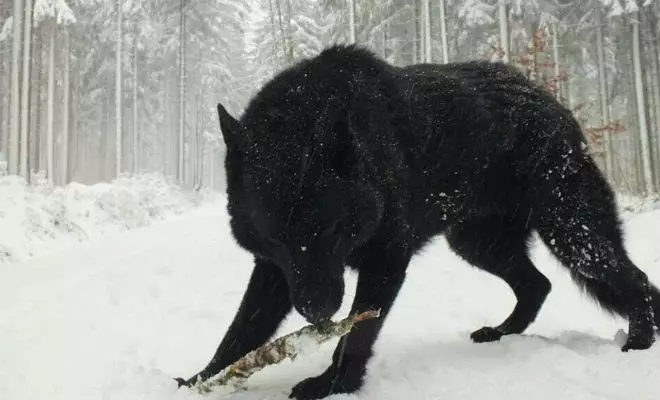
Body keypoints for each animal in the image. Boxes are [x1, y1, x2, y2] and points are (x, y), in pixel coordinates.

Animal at [177, 45, 660, 398]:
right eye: (276, 237)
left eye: (328, 230)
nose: (317, 313)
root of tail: (551, 102)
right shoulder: (277, 271)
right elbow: (241, 330)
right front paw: (200, 380)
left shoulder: (385, 262)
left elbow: (356, 336)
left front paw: (332, 385)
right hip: (478, 244)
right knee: (537, 285)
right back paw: (502, 332)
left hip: (574, 237)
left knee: (637, 282)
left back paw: (638, 343)